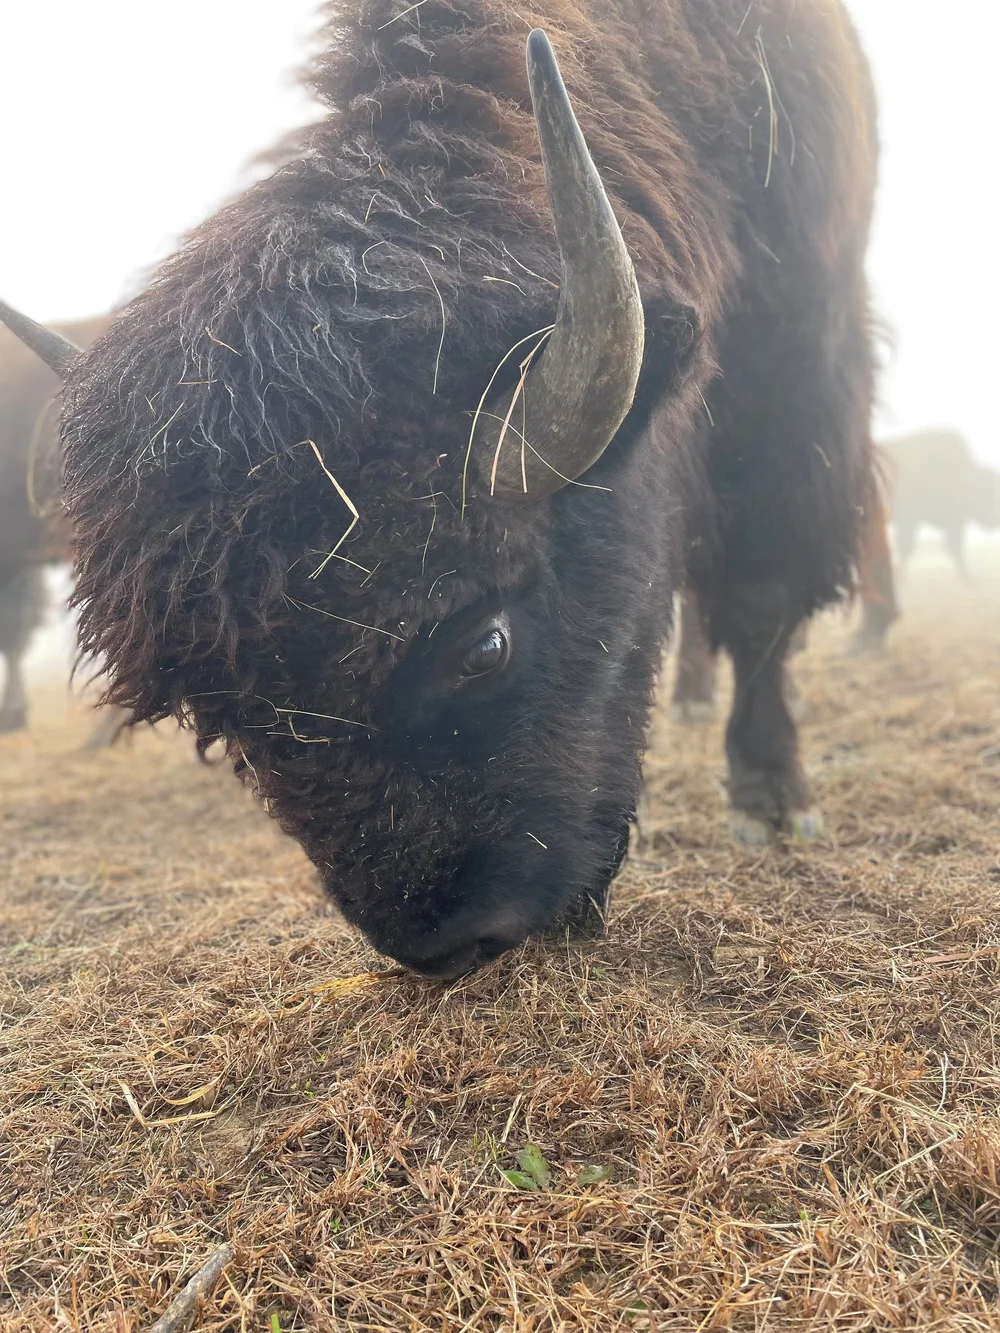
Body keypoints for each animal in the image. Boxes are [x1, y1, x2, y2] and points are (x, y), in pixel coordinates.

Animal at [2, 0, 879, 978]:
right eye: (226, 723)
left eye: (482, 645)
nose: (446, 942)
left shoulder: (799, 359)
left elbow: (763, 595)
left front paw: (770, 800)